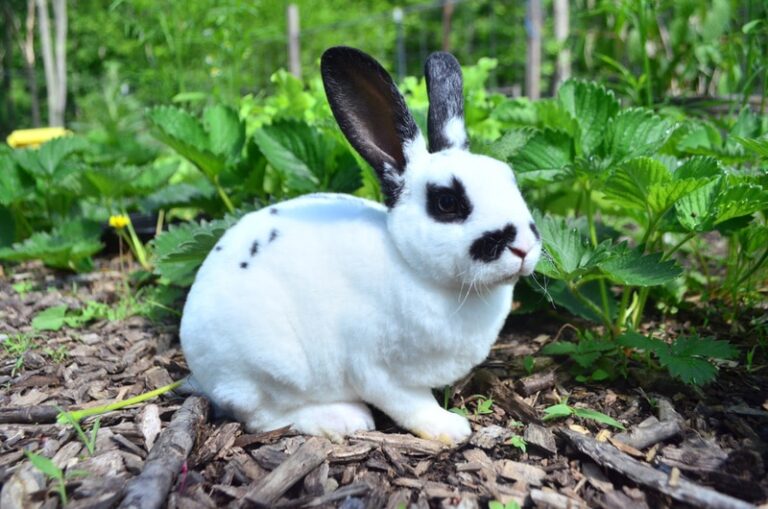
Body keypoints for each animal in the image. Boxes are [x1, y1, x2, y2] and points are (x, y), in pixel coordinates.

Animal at [180, 46, 542, 444]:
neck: (413, 267)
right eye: (447, 203)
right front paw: (451, 428)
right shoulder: (374, 368)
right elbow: (411, 404)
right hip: (270, 367)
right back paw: (342, 419)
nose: (524, 246)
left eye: (510, 178)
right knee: (263, 417)